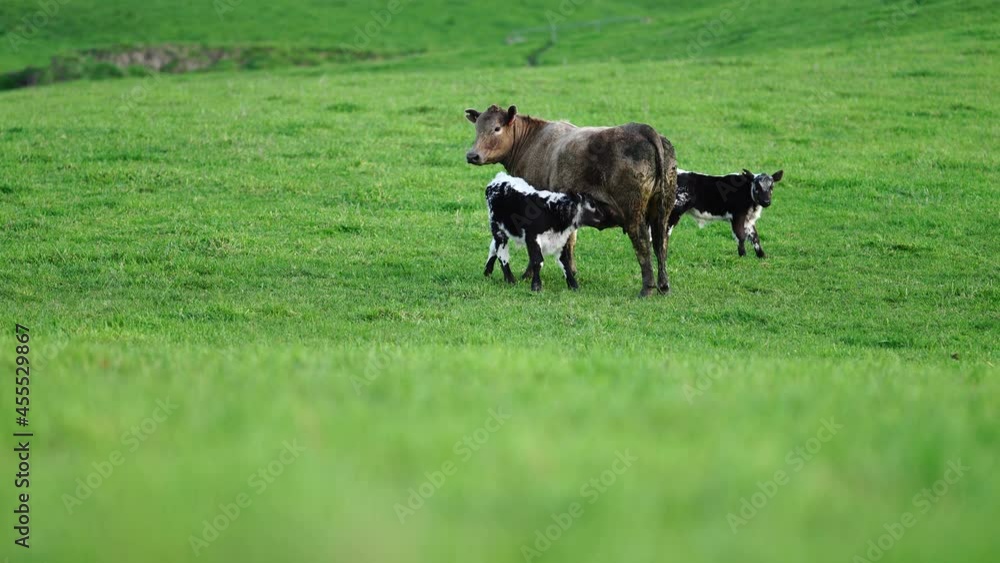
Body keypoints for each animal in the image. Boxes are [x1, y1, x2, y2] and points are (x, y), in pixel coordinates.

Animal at [465, 104, 677, 297]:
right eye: (477, 128)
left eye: (497, 128)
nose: (472, 155)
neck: (531, 143)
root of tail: (643, 129)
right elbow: (570, 240)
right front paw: (571, 273)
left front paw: (529, 275)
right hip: (663, 209)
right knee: (661, 243)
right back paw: (664, 286)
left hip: (633, 212)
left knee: (643, 244)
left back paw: (647, 288)